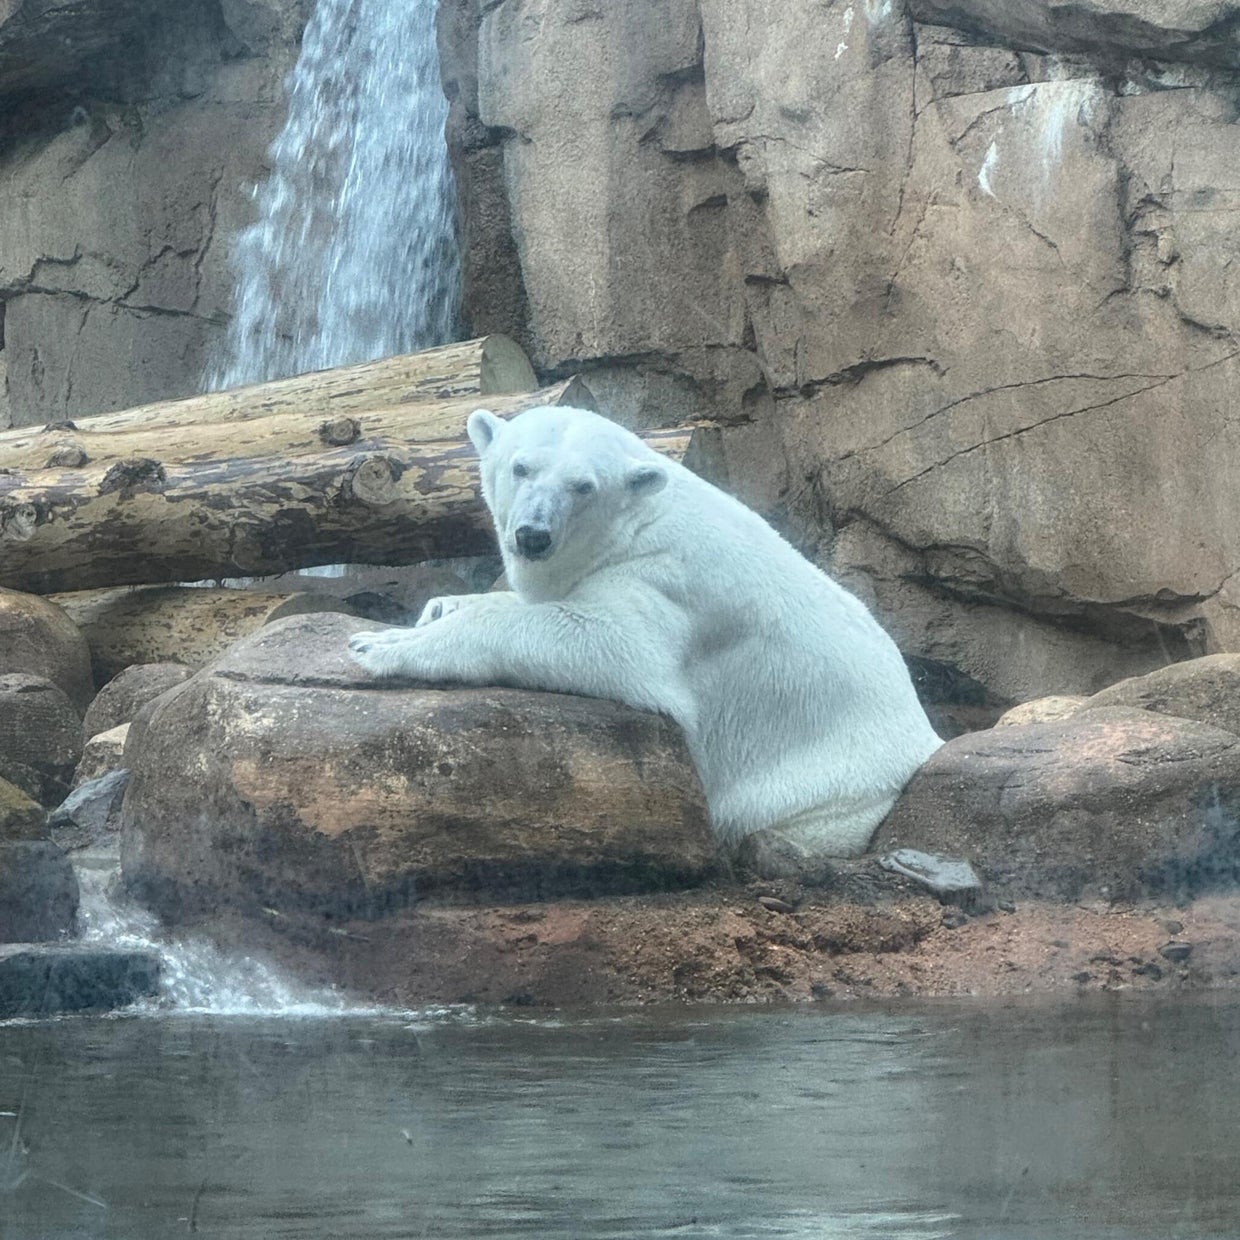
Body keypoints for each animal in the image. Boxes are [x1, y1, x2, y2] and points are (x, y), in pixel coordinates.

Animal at [348, 405, 942, 858]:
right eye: (521, 467)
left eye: (583, 486)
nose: (533, 535)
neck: (637, 521)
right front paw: (438, 606)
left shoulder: (663, 583)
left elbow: (613, 644)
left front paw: (379, 644)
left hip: (829, 792)